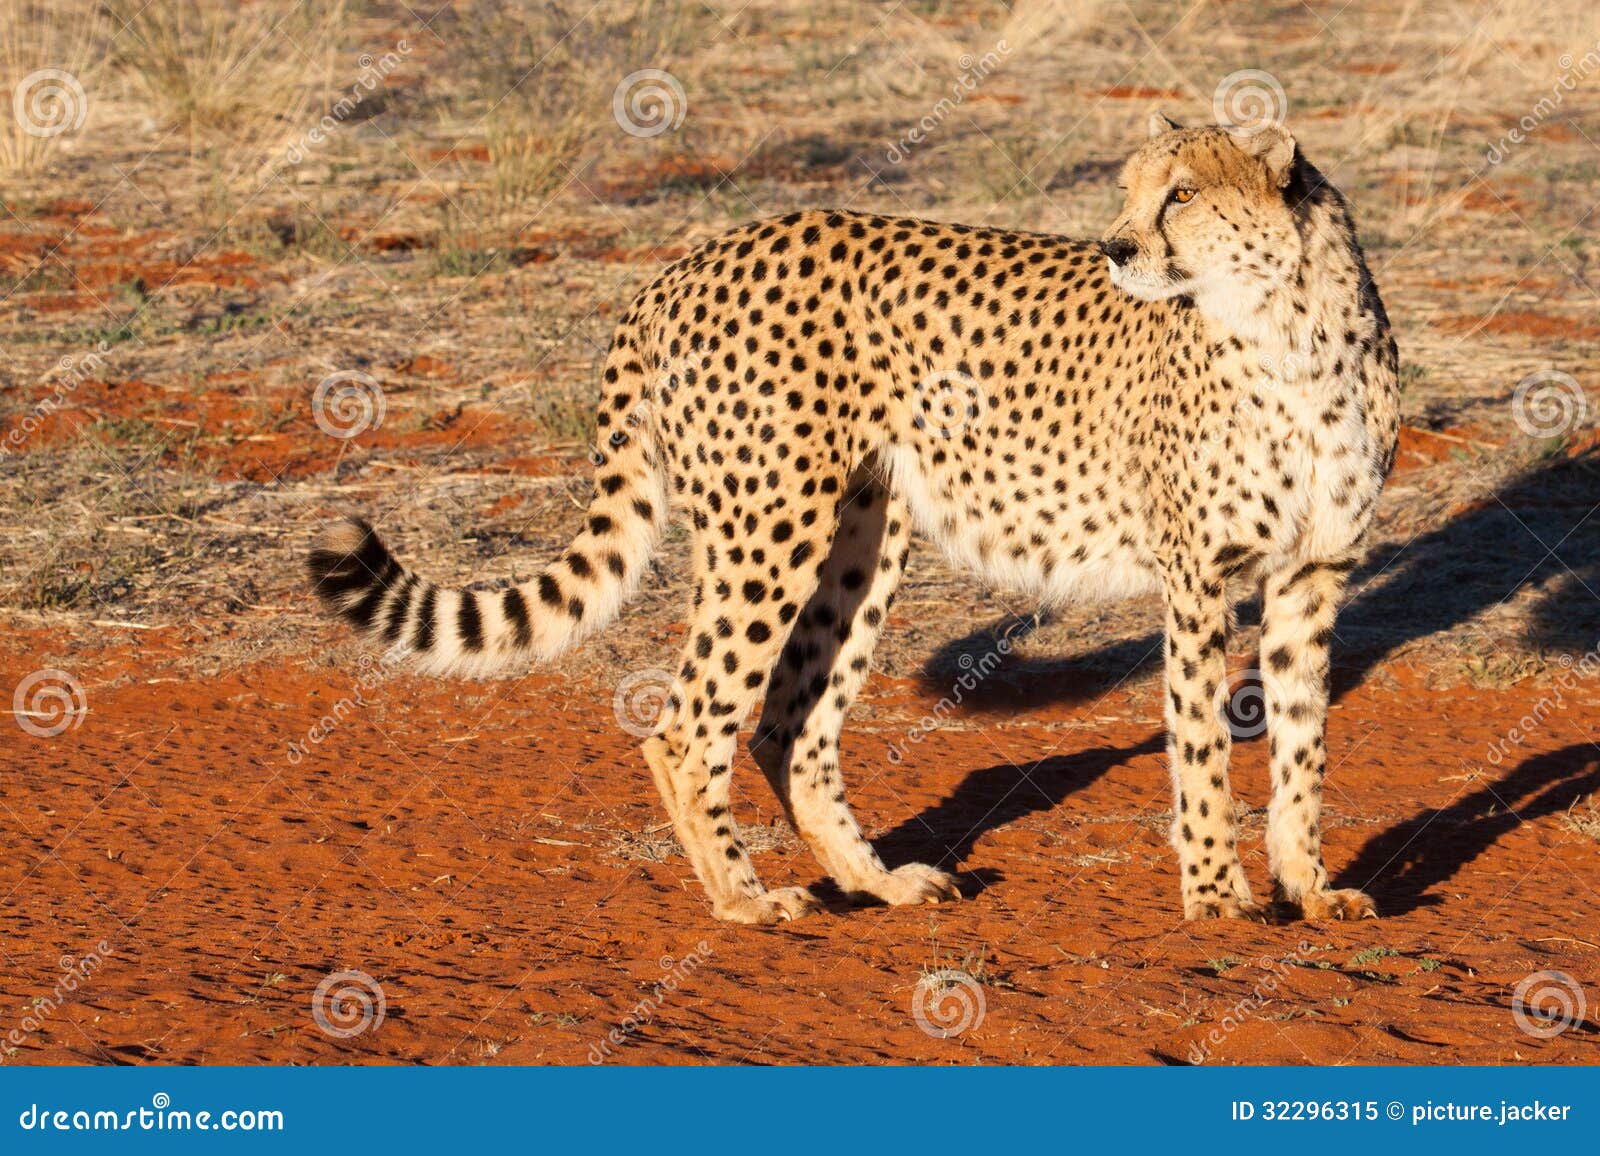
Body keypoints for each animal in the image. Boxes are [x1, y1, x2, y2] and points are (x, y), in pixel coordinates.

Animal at [308, 112, 1400, 926]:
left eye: (1180, 193)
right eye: (1132, 190)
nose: (1114, 248)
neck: (1289, 333)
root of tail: (684, 264)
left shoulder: (1312, 575)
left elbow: (1302, 741)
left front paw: (1310, 886)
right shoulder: (1198, 578)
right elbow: (1203, 746)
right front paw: (1215, 895)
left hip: (862, 542)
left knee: (789, 723)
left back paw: (875, 880)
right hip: (768, 529)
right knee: (686, 724)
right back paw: (744, 898)